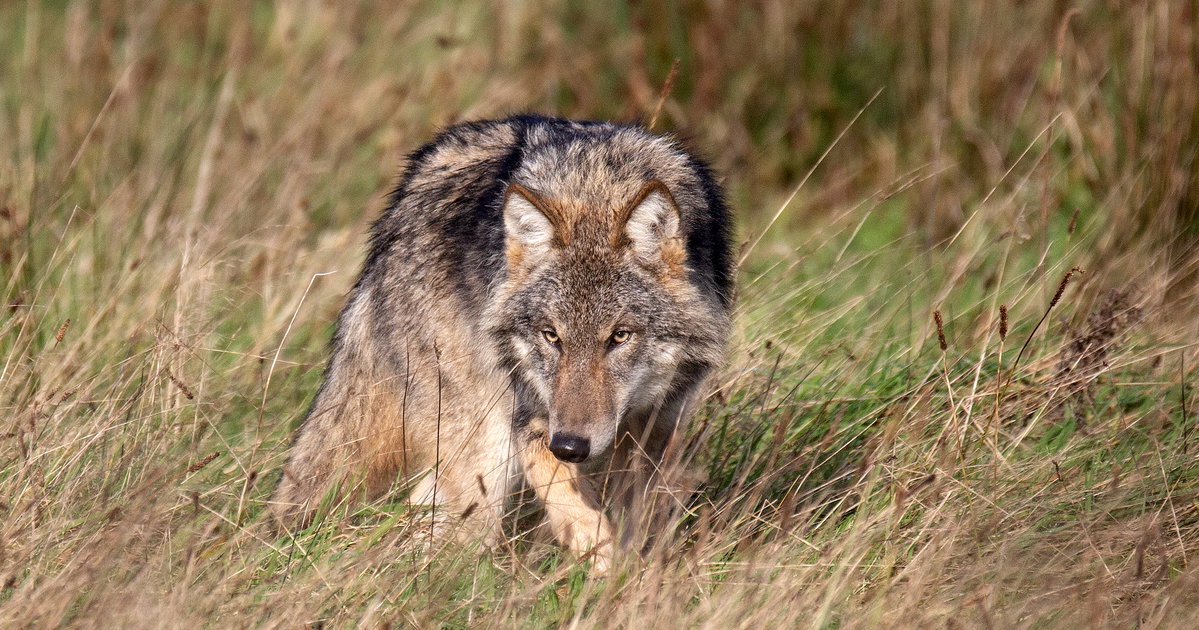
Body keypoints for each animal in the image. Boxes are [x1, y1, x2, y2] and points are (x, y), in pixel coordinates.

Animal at [272, 114, 734, 572]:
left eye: (620, 336)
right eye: (552, 336)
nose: (570, 447)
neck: (594, 185)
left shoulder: (657, 428)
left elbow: (636, 511)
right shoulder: (531, 417)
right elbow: (576, 509)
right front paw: (602, 561)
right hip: (485, 449)